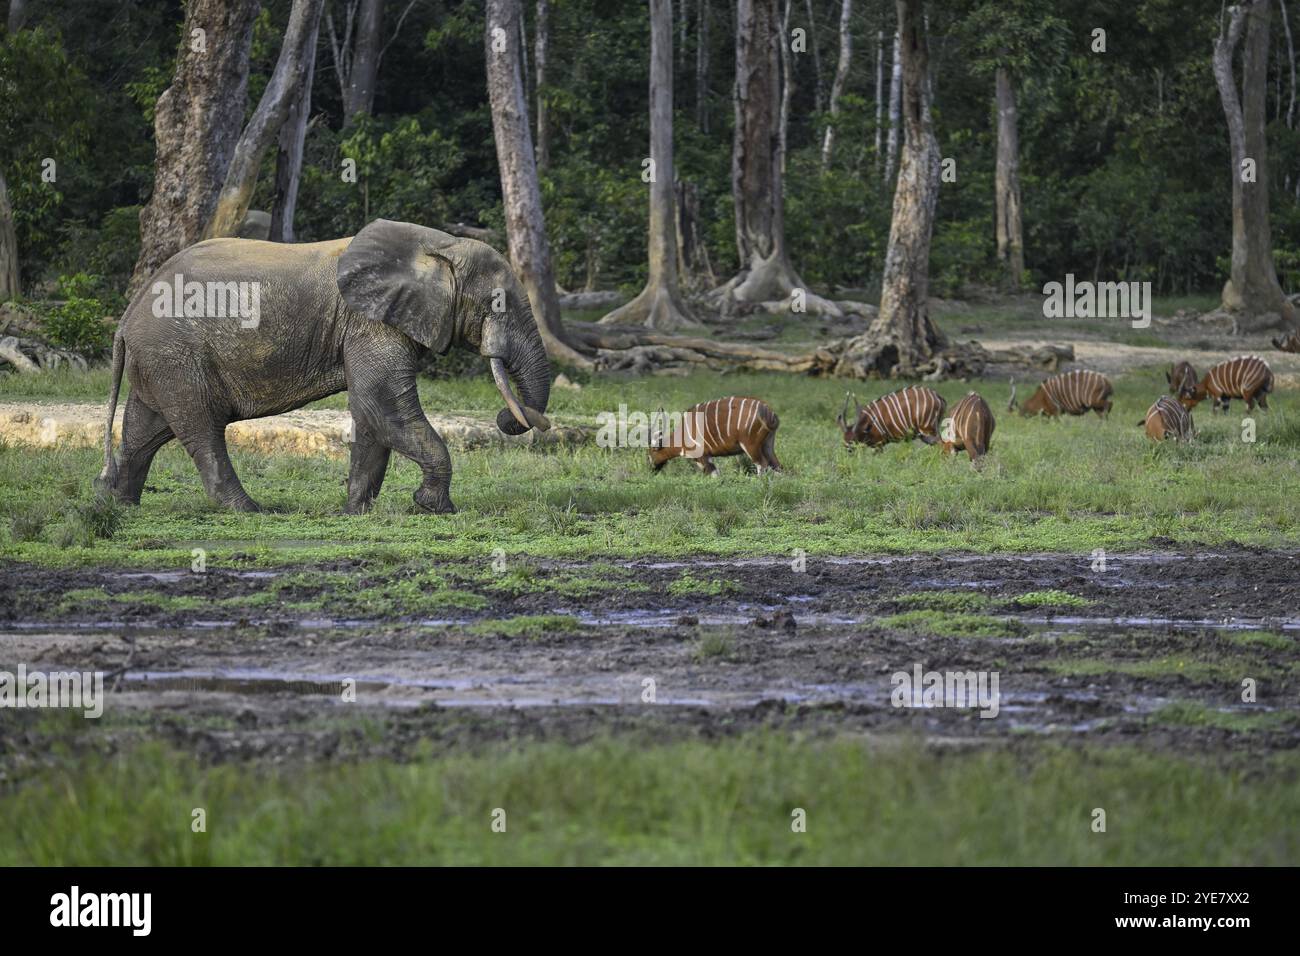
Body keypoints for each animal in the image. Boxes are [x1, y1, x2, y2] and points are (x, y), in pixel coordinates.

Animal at [96, 219, 552, 514]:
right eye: (497, 302)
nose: (508, 419)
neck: (441, 247)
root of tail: (126, 317)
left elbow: (371, 415)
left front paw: (355, 512)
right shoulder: (370, 322)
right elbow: (380, 403)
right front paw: (434, 508)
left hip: (161, 361)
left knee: (144, 430)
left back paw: (120, 506)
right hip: (176, 358)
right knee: (201, 429)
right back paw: (251, 510)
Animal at [649, 396, 781, 476]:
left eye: (650, 453)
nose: (651, 470)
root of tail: (770, 413)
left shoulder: (702, 456)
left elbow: (714, 474)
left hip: (750, 446)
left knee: (762, 464)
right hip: (768, 445)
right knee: (777, 466)